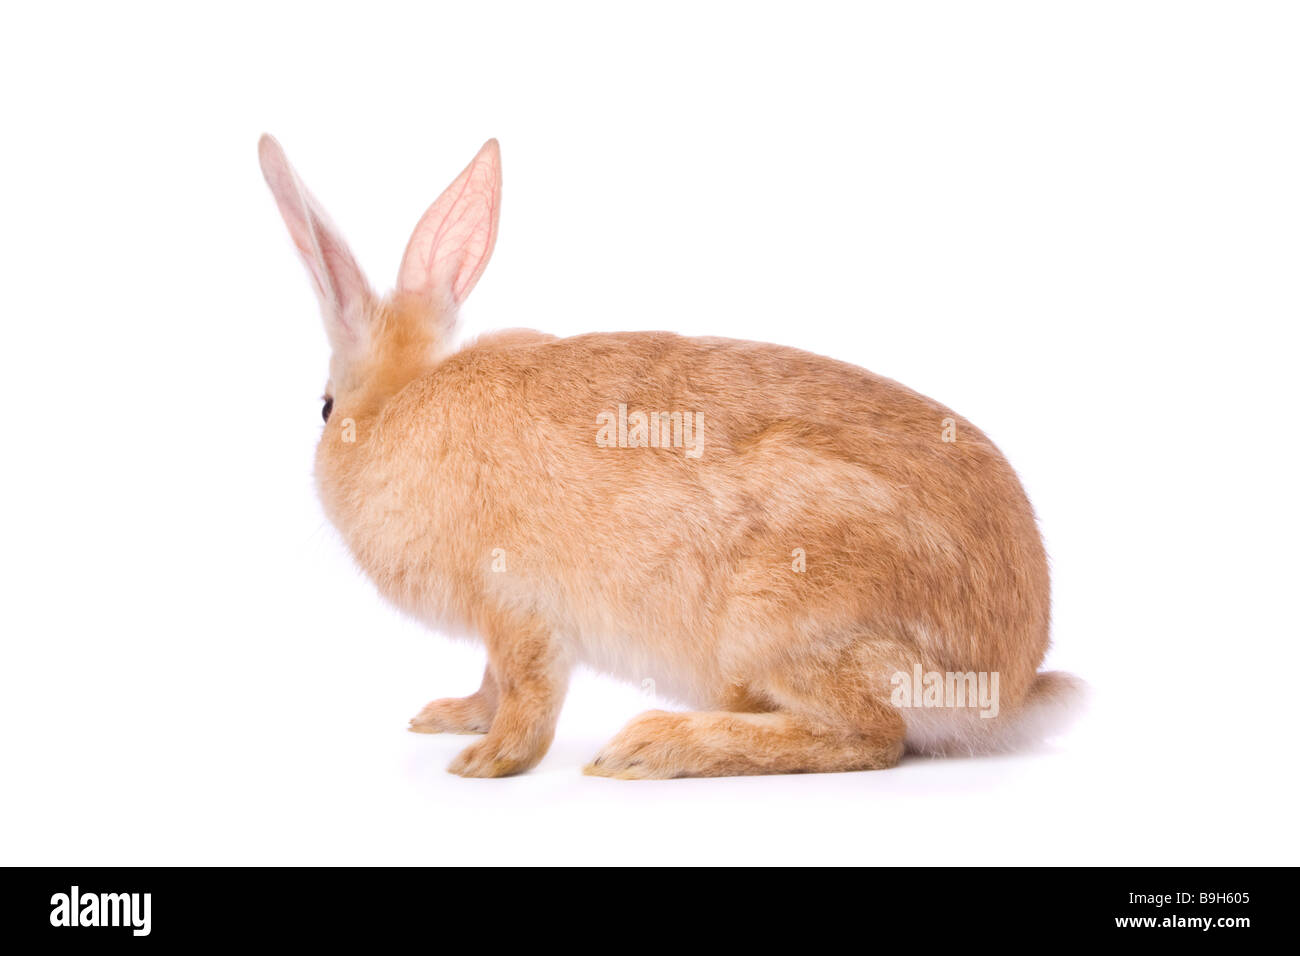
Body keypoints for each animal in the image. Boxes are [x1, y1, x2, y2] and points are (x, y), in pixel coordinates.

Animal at [258, 134, 1085, 778]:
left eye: (324, 406)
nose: (323, 450)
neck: (397, 410)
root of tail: (1007, 685)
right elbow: (491, 683)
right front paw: (448, 717)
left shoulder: (518, 608)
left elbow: (526, 694)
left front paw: (485, 762)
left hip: (786, 624)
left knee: (867, 737)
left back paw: (651, 747)